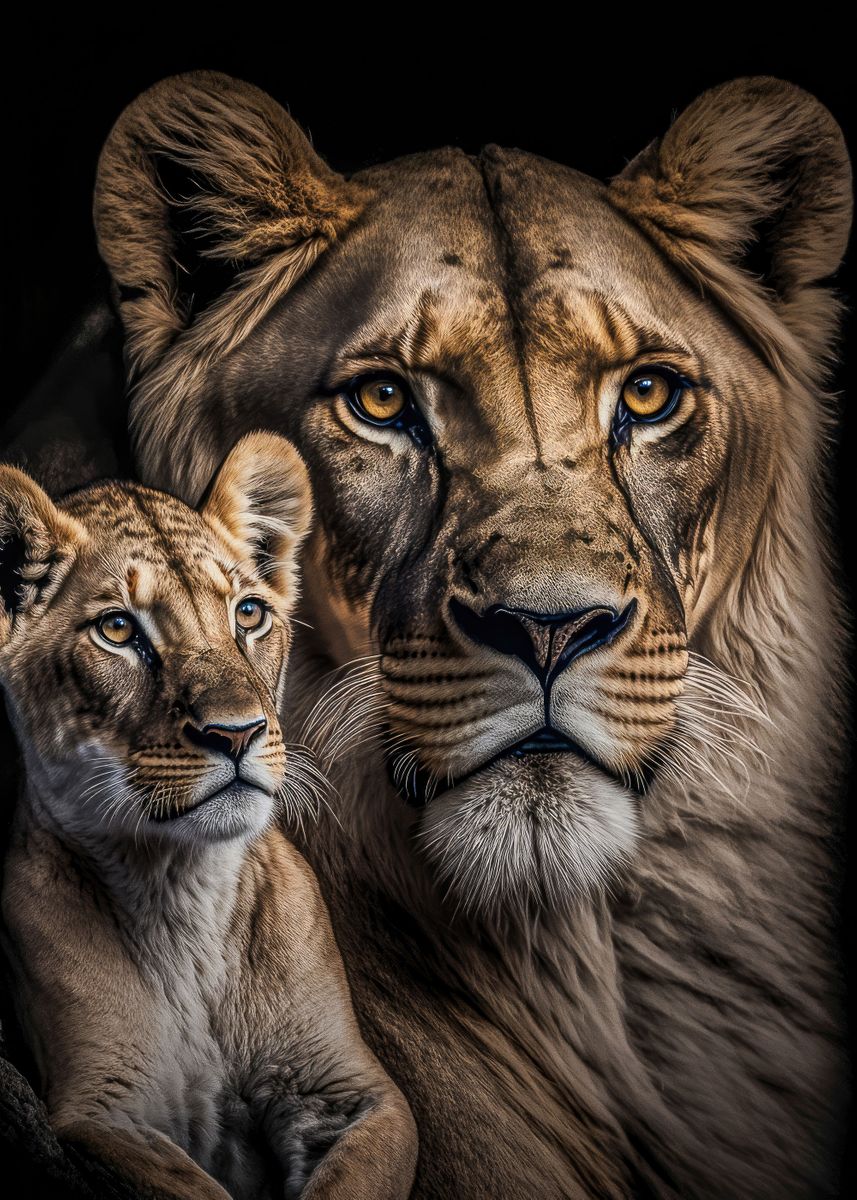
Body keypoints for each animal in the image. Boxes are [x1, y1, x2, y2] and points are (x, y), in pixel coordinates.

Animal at [0, 435, 417, 1200]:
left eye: (248, 615)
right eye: (117, 629)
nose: (237, 733)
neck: (185, 887)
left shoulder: (355, 1094)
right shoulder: (99, 1111)